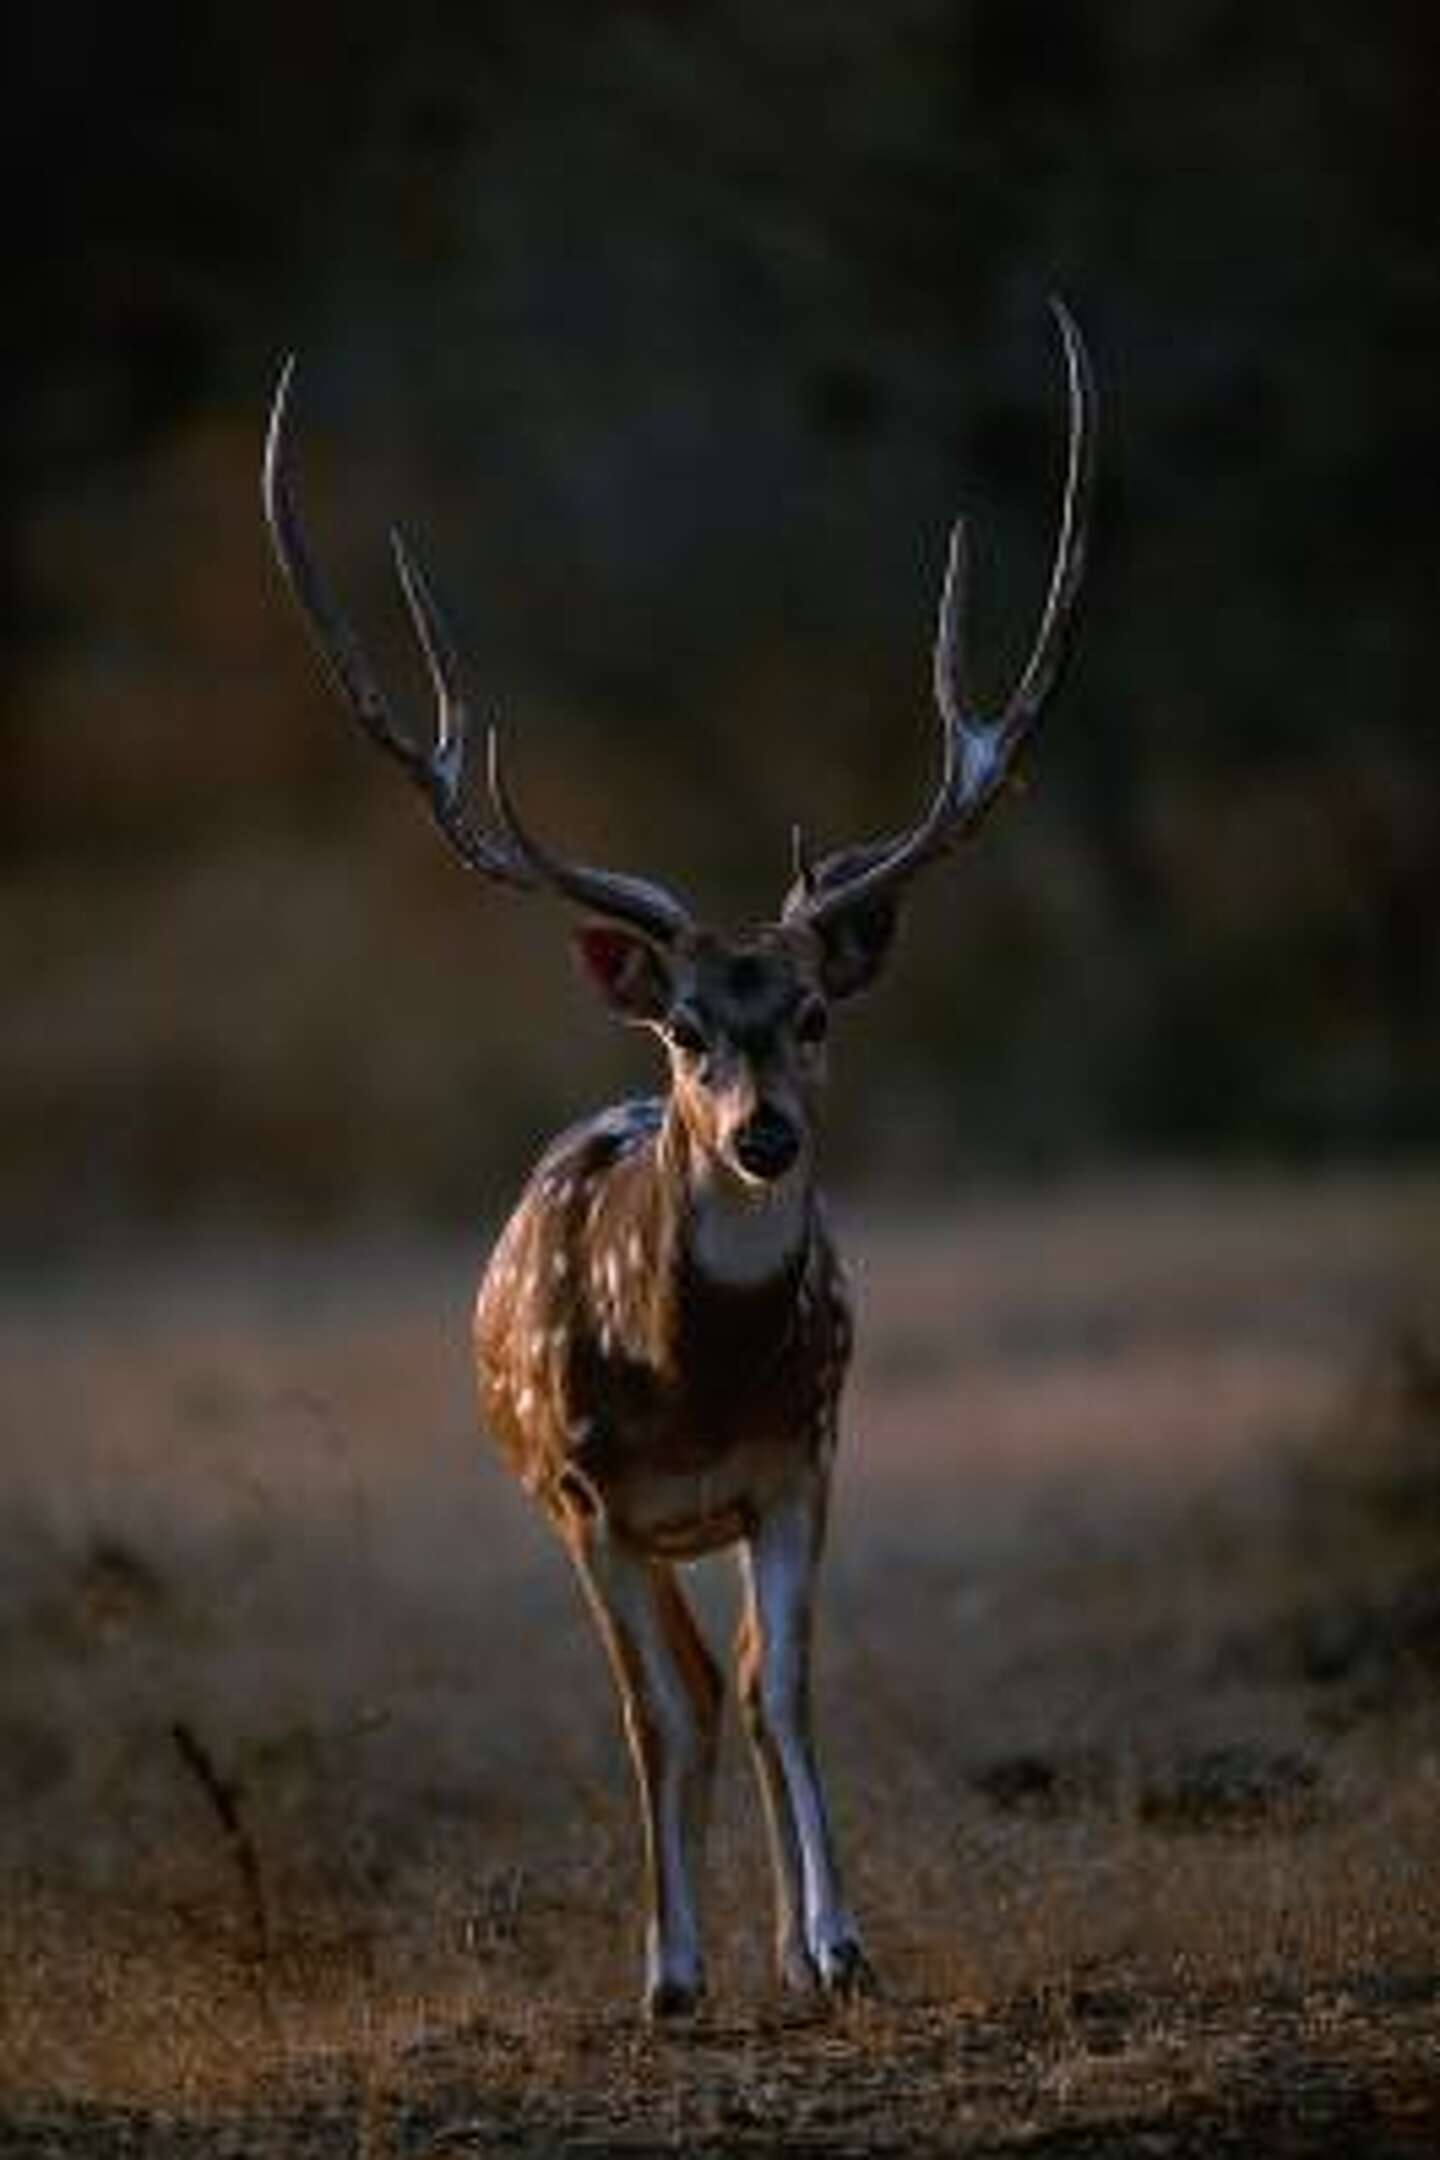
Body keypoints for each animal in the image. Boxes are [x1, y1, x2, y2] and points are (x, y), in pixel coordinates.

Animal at [262, 298, 1095, 2020]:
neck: (693, 1376)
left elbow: (788, 1692)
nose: (761, 1131)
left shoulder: (801, 1455)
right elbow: (661, 1718)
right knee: (689, 1693)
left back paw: (789, 1942)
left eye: (815, 1013)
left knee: (753, 1679)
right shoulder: (586, 1495)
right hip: (590, 1511)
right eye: (688, 1026)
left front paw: (835, 1945)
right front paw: (669, 1971)